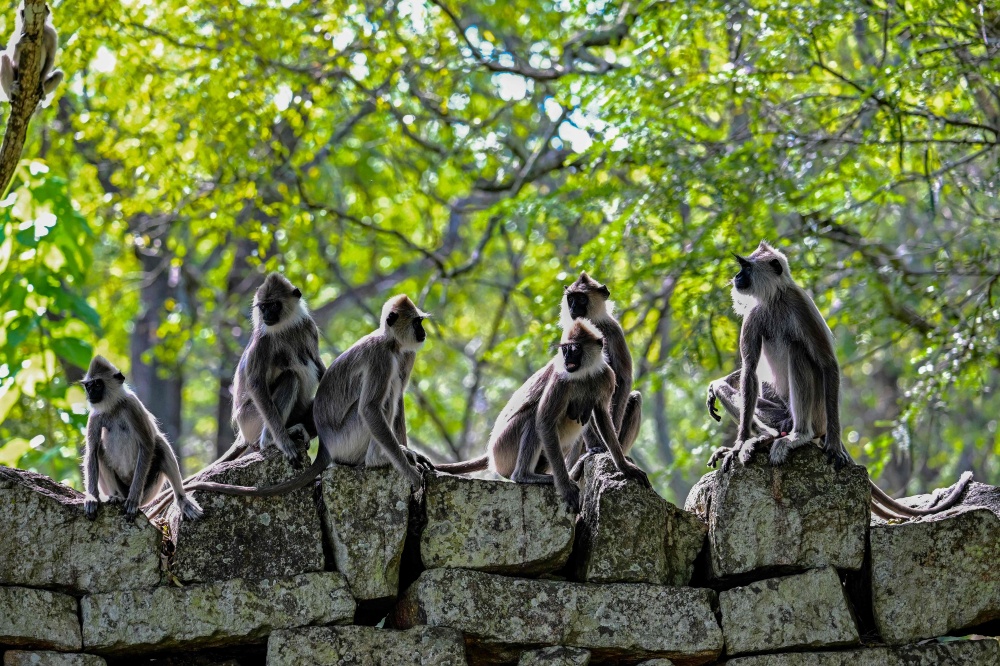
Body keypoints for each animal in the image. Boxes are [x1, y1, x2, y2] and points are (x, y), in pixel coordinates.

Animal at [81, 356, 202, 521]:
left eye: (98, 384)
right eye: (88, 386)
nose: (91, 392)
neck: (113, 407)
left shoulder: (132, 406)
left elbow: (147, 444)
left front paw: (133, 500)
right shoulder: (95, 416)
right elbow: (92, 452)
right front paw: (92, 498)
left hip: (149, 491)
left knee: (160, 444)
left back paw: (182, 501)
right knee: (99, 451)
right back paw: (116, 497)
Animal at [153, 294, 434, 502]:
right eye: (416, 322)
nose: (423, 333)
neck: (390, 343)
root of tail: (326, 447)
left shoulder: (402, 355)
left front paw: (409, 453)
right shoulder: (381, 358)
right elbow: (371, 409)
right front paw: (410, 473)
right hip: (348, 438)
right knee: (379, 401)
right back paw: (378, 459)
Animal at [437, 319, 650, 513]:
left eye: (575, 349)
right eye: (565, 349)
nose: (566, 356)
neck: (584, 373)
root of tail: (491, 452)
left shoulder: (605, 376)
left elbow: (602, 416)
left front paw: (624, 466)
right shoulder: (561, 378)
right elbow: (545, 421)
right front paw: (565, 487)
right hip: (504, 447)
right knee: (534, 418)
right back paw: (525, 475)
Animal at [560, 272, 642, 479]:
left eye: (581, 299)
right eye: (571, 299)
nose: (573, 307)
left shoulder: (614, 329)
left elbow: (624, 378)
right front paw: (596, 447)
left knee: (635, 398)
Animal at [705, 241, 973, 519]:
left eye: (746, 267)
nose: (737, 277)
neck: (774, 299)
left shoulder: (799, 304)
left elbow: (828, 364)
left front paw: (833, 445)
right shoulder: (754, 314)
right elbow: (749, 370)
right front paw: (739, 443)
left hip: (817, 413)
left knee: (797, 350)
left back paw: (798, 436)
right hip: (781, 414)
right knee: (736, 389)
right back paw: (763, 437)